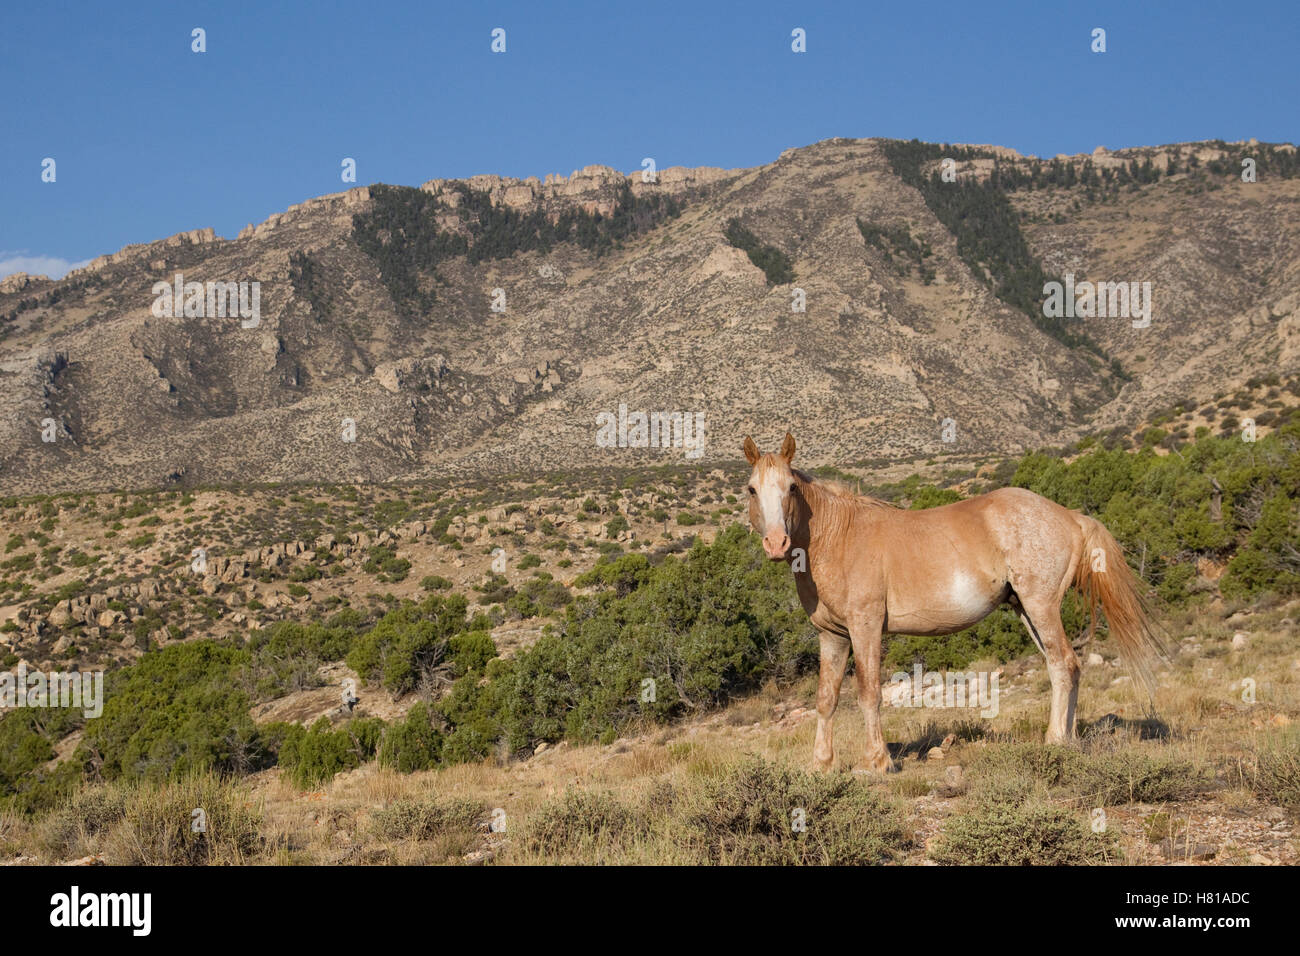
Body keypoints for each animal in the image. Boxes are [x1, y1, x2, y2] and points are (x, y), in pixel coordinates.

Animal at [742, 432, 1165, 774]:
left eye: (791, 487)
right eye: (751, 489)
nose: (776, 544)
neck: (839, 536)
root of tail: (1071, 516)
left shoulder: (865, 628)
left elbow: (868, 693)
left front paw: (878, 762)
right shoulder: (832, 635)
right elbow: (826, 699)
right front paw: (822, 764)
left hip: (1041, 606)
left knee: (1064, 665)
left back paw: (1056, 742)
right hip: (1027, 611)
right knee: (1065, 667)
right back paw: (1070, 739)